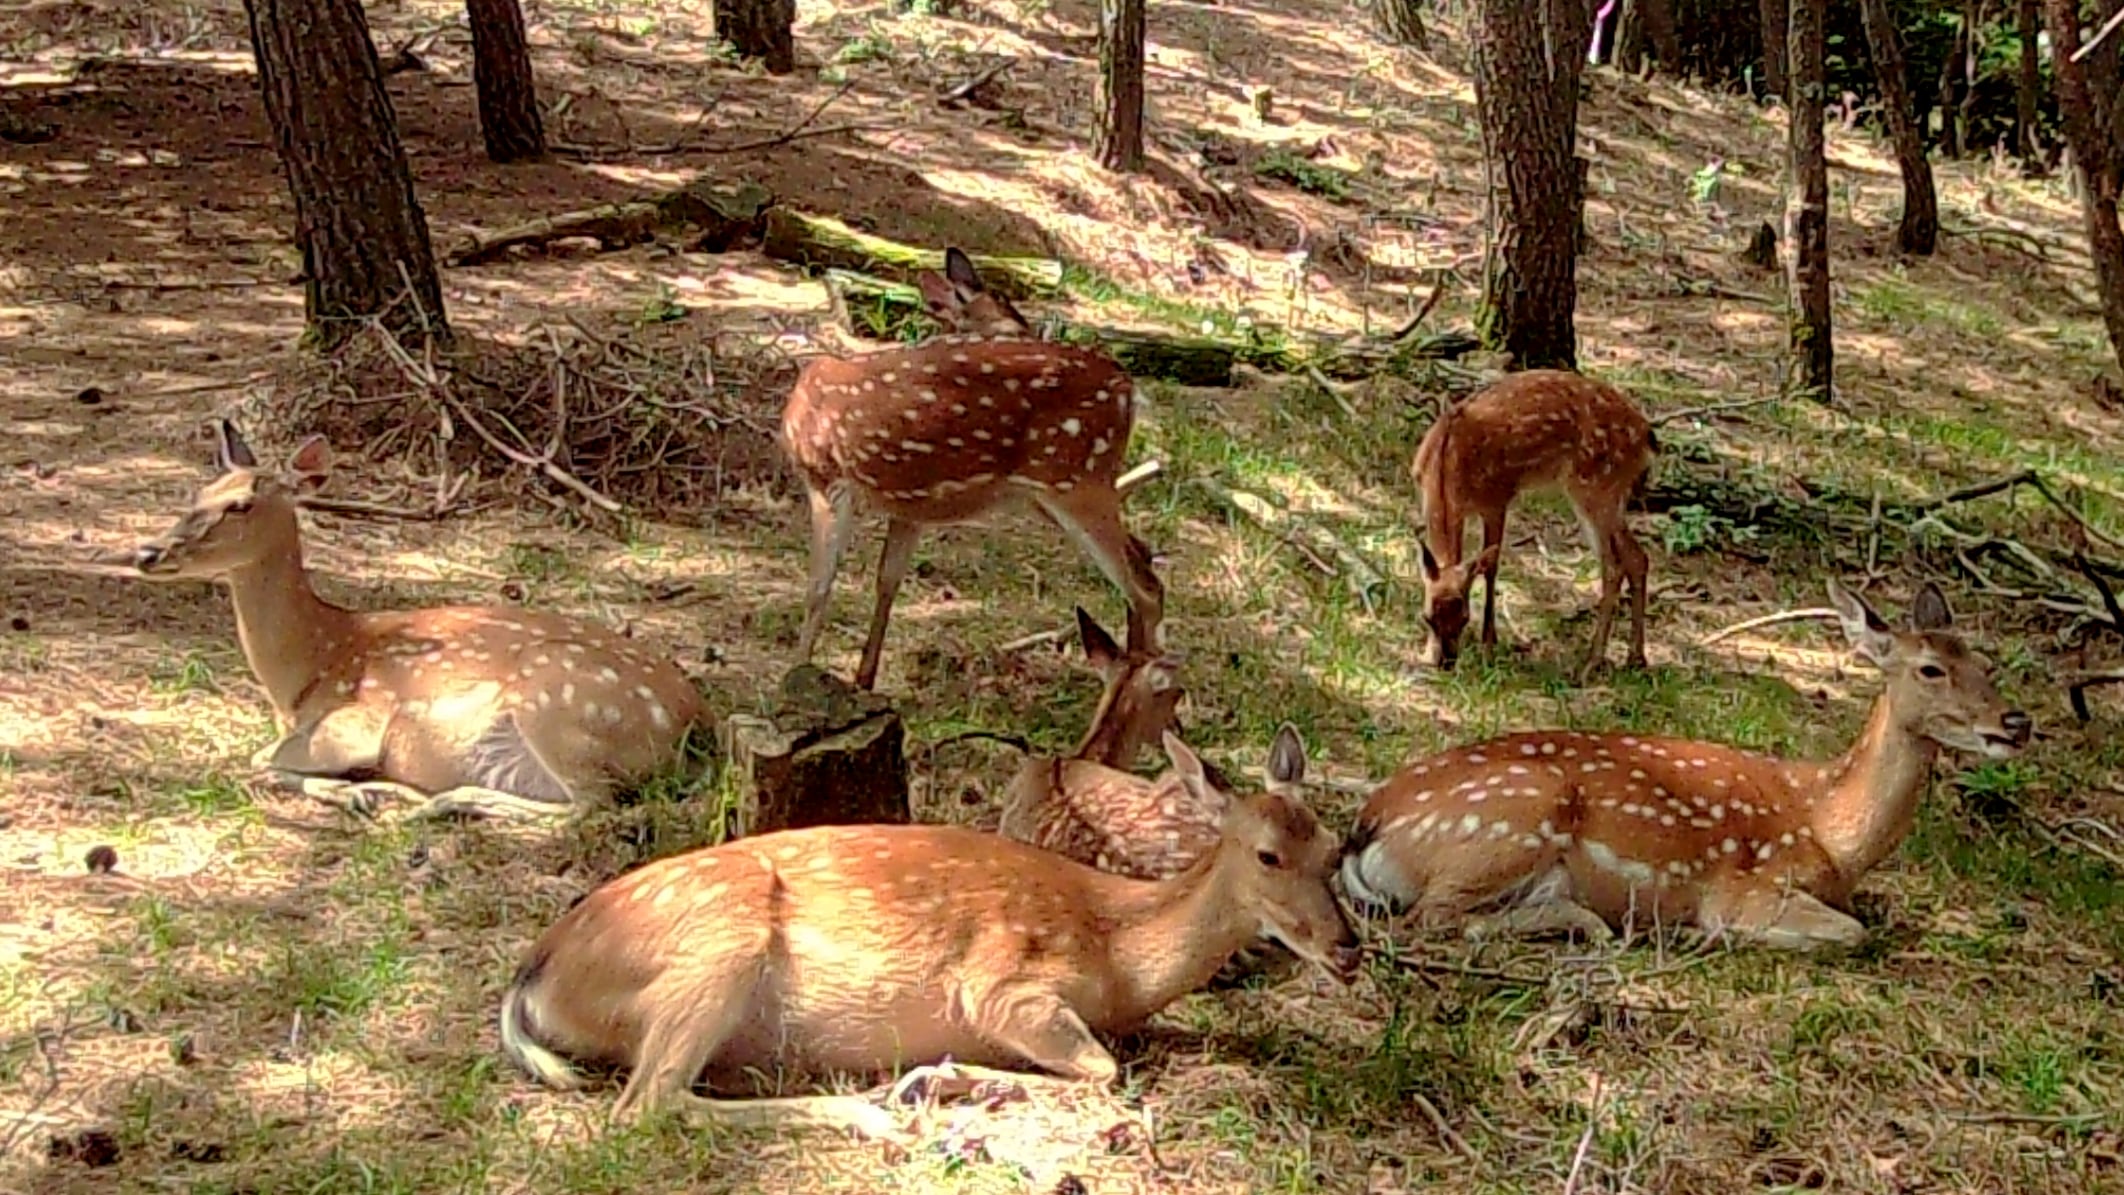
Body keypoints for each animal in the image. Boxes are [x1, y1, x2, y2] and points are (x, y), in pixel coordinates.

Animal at [126, 421, 706, 825]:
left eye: (241, 505)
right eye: (197, 493)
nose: (147, 552)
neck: (306, 670)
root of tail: (692, 725)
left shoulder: (358, 722)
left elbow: (259, 758)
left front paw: (356, 791)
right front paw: (360, 791)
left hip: (557, 704)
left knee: (590, 804)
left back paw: (434, 802)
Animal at [497, 722, 1360, 1139]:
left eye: (1334, 845)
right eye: (1268, 853)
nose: (1348, 946)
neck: (1120, 955)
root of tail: (532, 977)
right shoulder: (1002, 981)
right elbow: (1104, 1068)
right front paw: (951, 1077)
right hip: (716, 946)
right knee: (645, 1101)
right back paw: (874, 1110)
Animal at [781, 246, 1164, 691]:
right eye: (1010, 326)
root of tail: (1129, 391)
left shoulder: (824, 477)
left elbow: (819, 586)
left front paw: (795, 674)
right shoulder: (909, 506)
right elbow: (887, 581)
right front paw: (863, 679)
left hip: (1077, 478)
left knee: (1146, 588)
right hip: (1056, 491)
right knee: (1143, 555)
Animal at [1338, 579, 2032, 951]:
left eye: (1985, 663)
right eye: (1931, 669)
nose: (2015, 722)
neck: (1832, 832)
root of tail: (1363, 832)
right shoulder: (1748, 887)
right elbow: (1852, 932)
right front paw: (1706, 934)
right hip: (1509, 820)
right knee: (1433, 916)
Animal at [1412, 369, 1656, 683]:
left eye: (1465, 617)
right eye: (1427, 617)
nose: (1446, 661)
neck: (1447, 468)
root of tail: (1647, 436)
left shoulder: (1497, 498)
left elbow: (1490, 567)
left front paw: (1489, 646)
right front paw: (1426, 653)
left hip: (1596, 486)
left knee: (1614, 565)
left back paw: (1591, 664)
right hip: (1610, 494)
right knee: (1636, 557)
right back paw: (1635, 659)